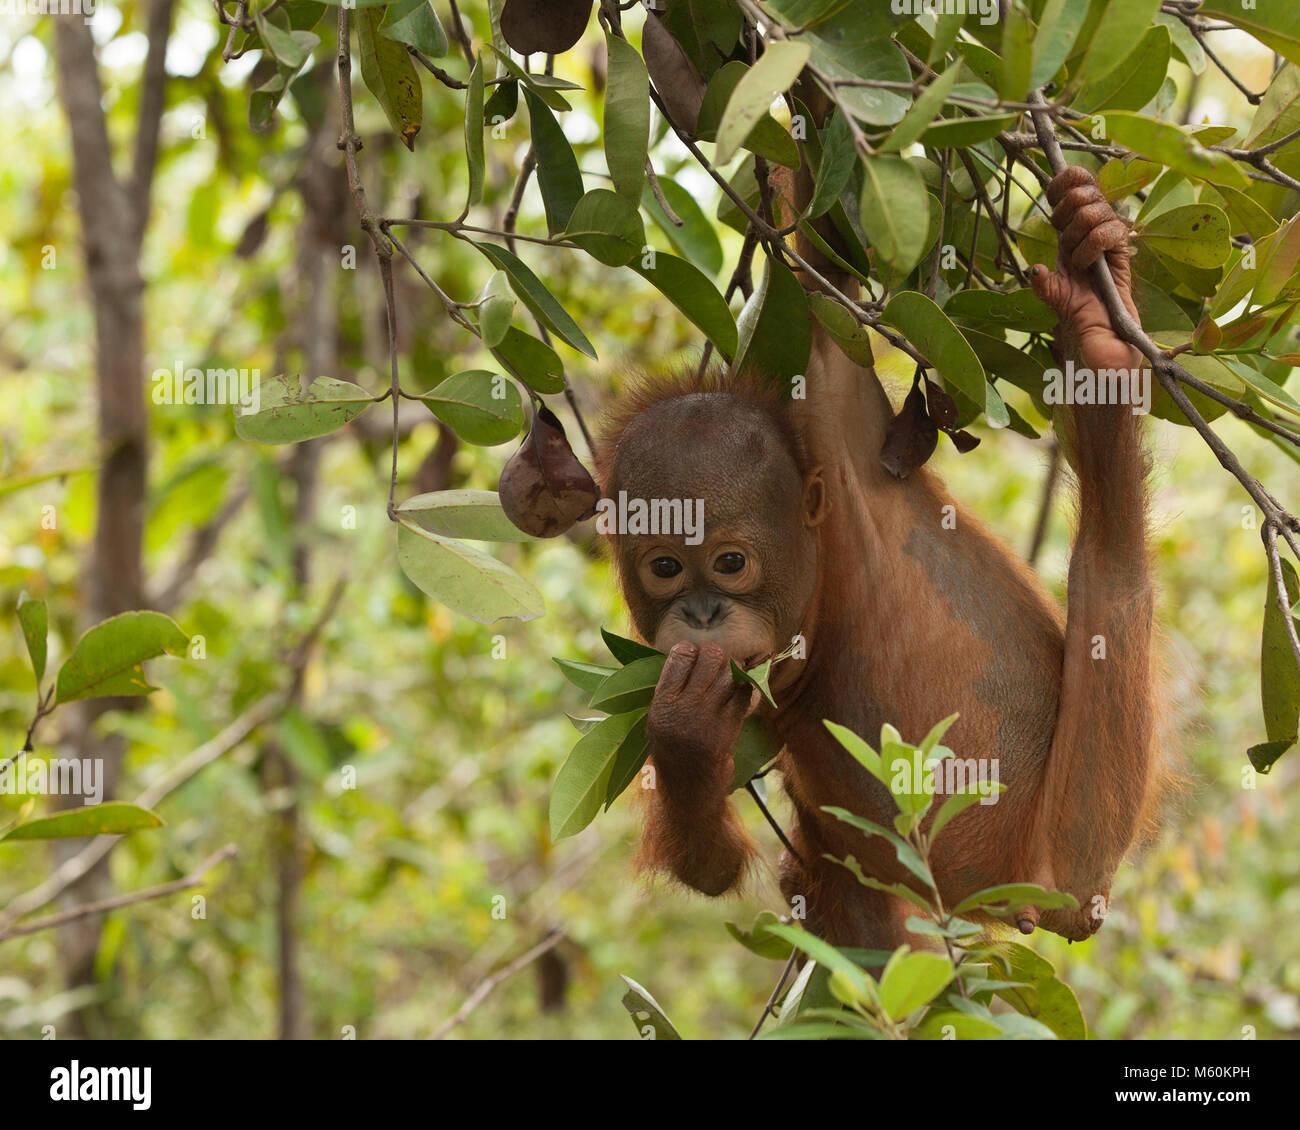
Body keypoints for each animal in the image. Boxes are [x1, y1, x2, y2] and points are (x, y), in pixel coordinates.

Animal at [593, 162, 1158, 950]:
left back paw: (1101, 338)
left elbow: (828, 258)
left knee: (1113, 563)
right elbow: (710, 866)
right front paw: (686, 731)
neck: (825, 591)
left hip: (1071, 838)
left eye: (731, 563)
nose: (701, 615)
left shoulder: (842, 427)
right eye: (666, 568)